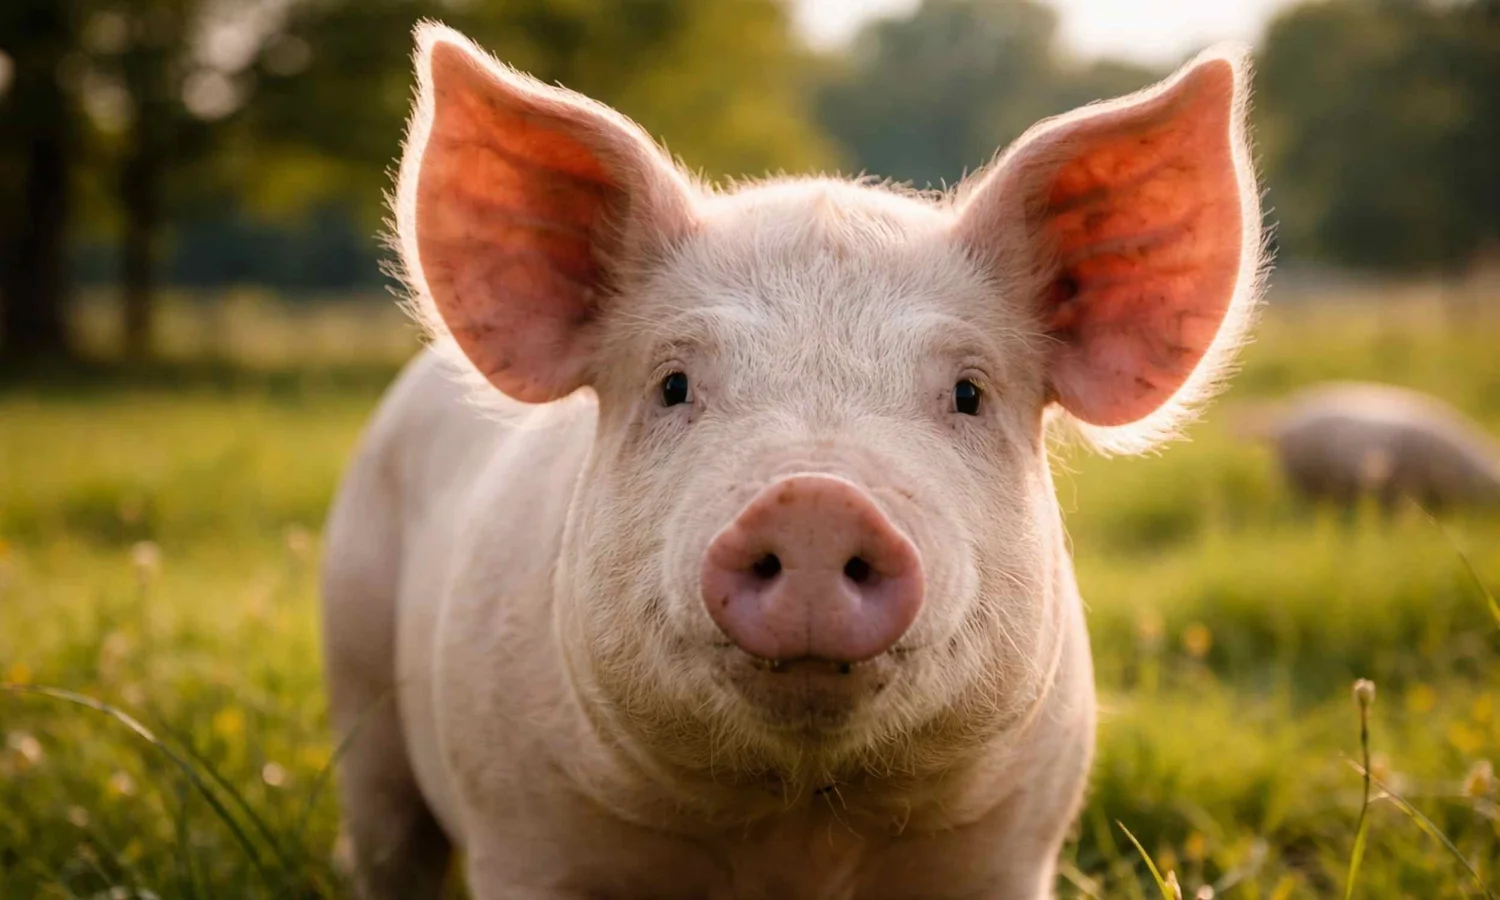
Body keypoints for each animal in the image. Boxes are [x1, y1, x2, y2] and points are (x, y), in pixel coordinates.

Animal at [319, 23, 1265, 900]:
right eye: (673, 384)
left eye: (968, 393)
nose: (815, 501)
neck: (799, 826)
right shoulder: (522, 838)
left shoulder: (1013, 842)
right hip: (357, 680)